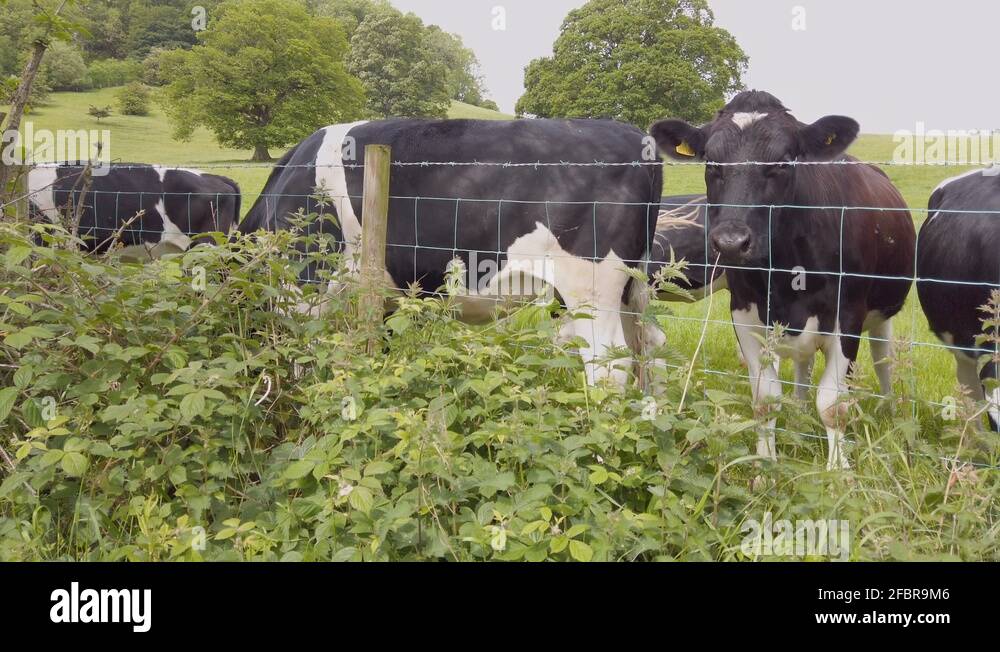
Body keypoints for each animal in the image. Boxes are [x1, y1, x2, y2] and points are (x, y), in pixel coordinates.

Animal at [239, 119, 663, 384]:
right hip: (631, 289)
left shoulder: (303, 288)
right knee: (649, 346)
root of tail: (636, 137)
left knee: (609, 364)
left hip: (591, 285)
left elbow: (303, 357)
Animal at [650, 90, 916, 471]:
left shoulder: (847, 314)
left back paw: (890, 410)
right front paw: (764, 467)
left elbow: (833, 404)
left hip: (883, 311)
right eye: (711, 162)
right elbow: (765, 399)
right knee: (804, 366)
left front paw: (838, 472)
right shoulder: (744, 313)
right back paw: (799, 413)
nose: (730, 242)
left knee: (883, 357)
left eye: (785, 160)